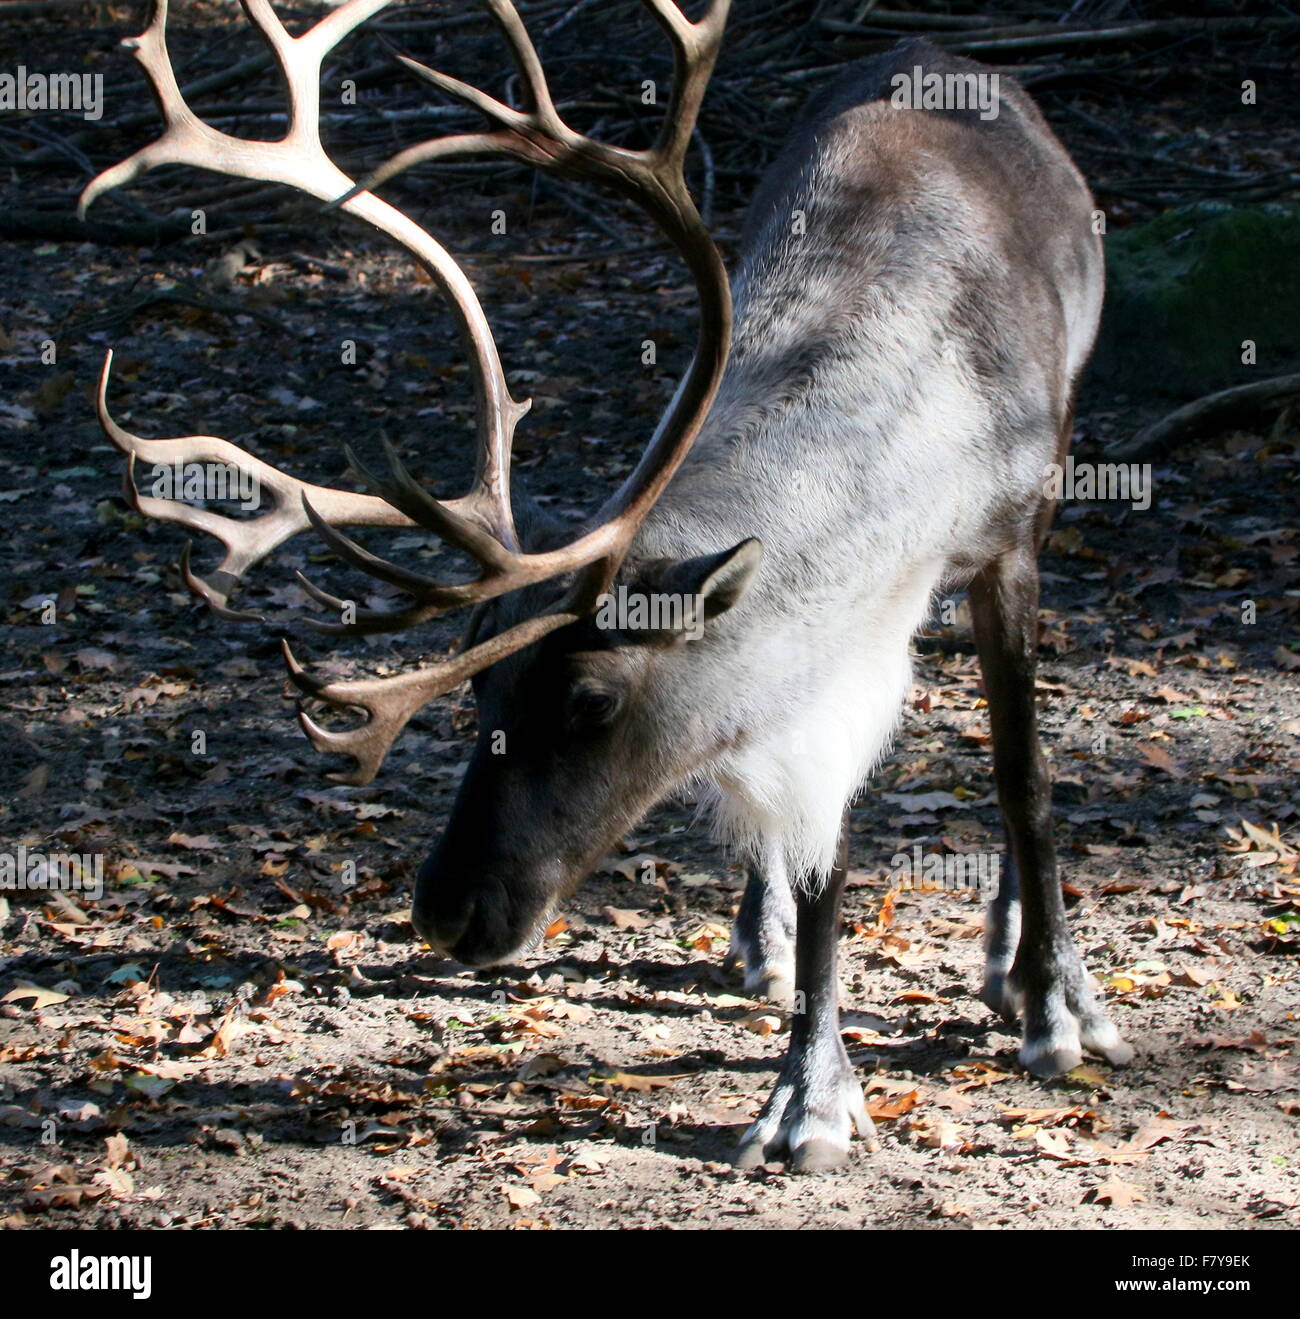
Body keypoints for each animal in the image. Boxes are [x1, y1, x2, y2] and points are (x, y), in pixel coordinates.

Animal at [81, 0, 1133, 1172]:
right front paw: (808, 1084)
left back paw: (1007, 961)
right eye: (479, 690)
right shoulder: (825, 652)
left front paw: (1058, 1003)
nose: (446, 911)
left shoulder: (1006, 544)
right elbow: (821, 853)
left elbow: (1025, 776)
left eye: (590, 700)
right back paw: (762, 934)